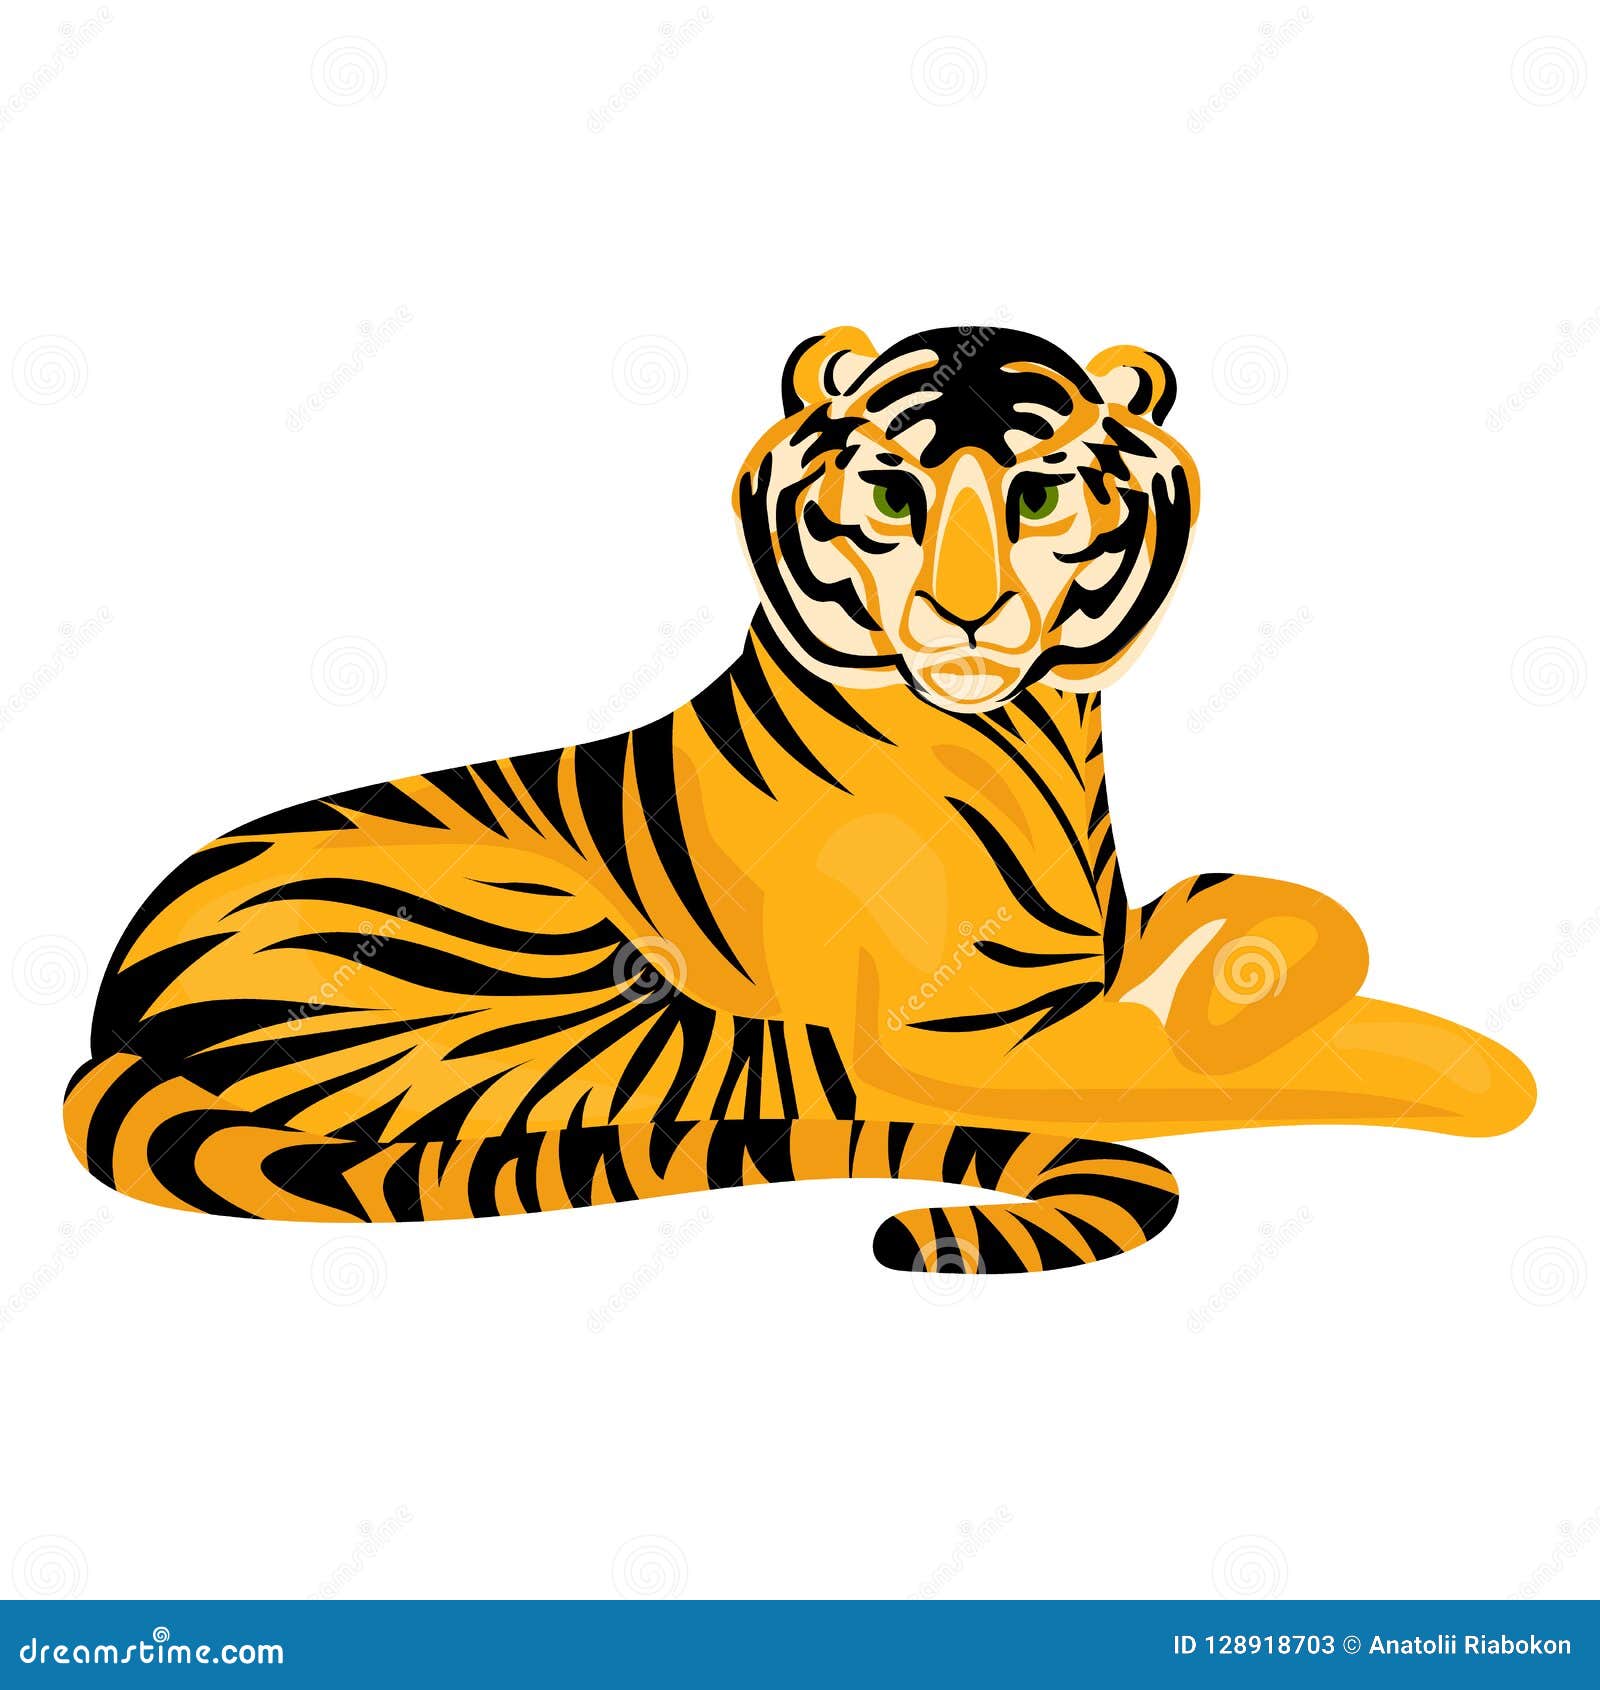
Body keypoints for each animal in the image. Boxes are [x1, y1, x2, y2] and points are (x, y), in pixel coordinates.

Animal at [63, 324, 1536, 1275]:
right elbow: (1193, 1058)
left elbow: (1284, 904)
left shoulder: (1097, 939)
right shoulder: (964, 1026)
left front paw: (1252, 982)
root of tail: (109, 1009)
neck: (1039, 739)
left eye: (1038, 493)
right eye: (889, 489)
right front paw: (1471, 1071)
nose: (963, 614)